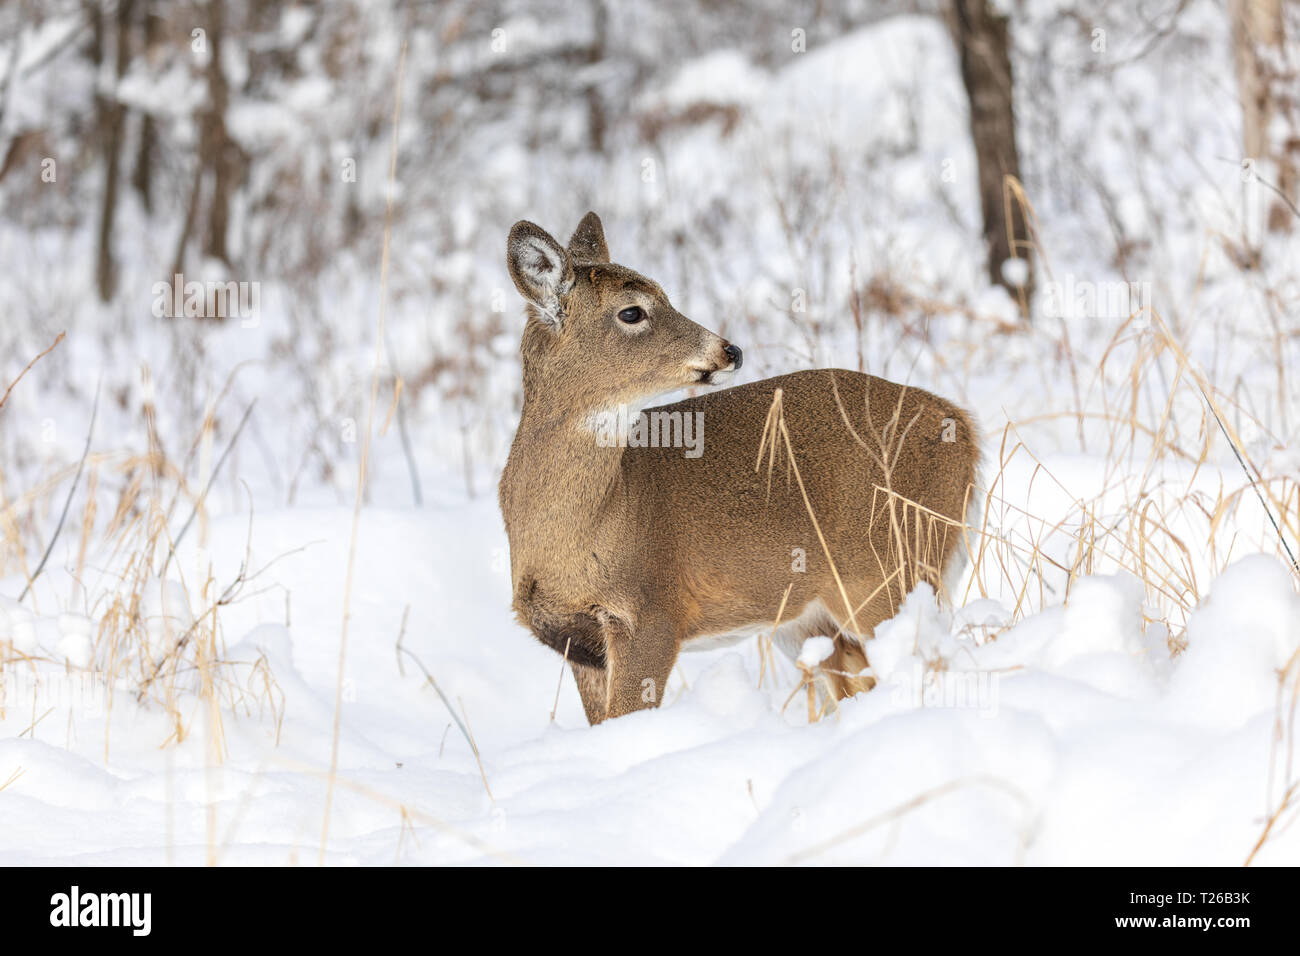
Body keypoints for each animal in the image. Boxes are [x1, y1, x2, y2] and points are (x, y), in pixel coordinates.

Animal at [499, 212, 980, 724]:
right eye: (632, 312)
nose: (730, 350)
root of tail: (963, 427)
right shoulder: (576, 643)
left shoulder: (650, 612)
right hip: (809, 613)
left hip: (893, 564)